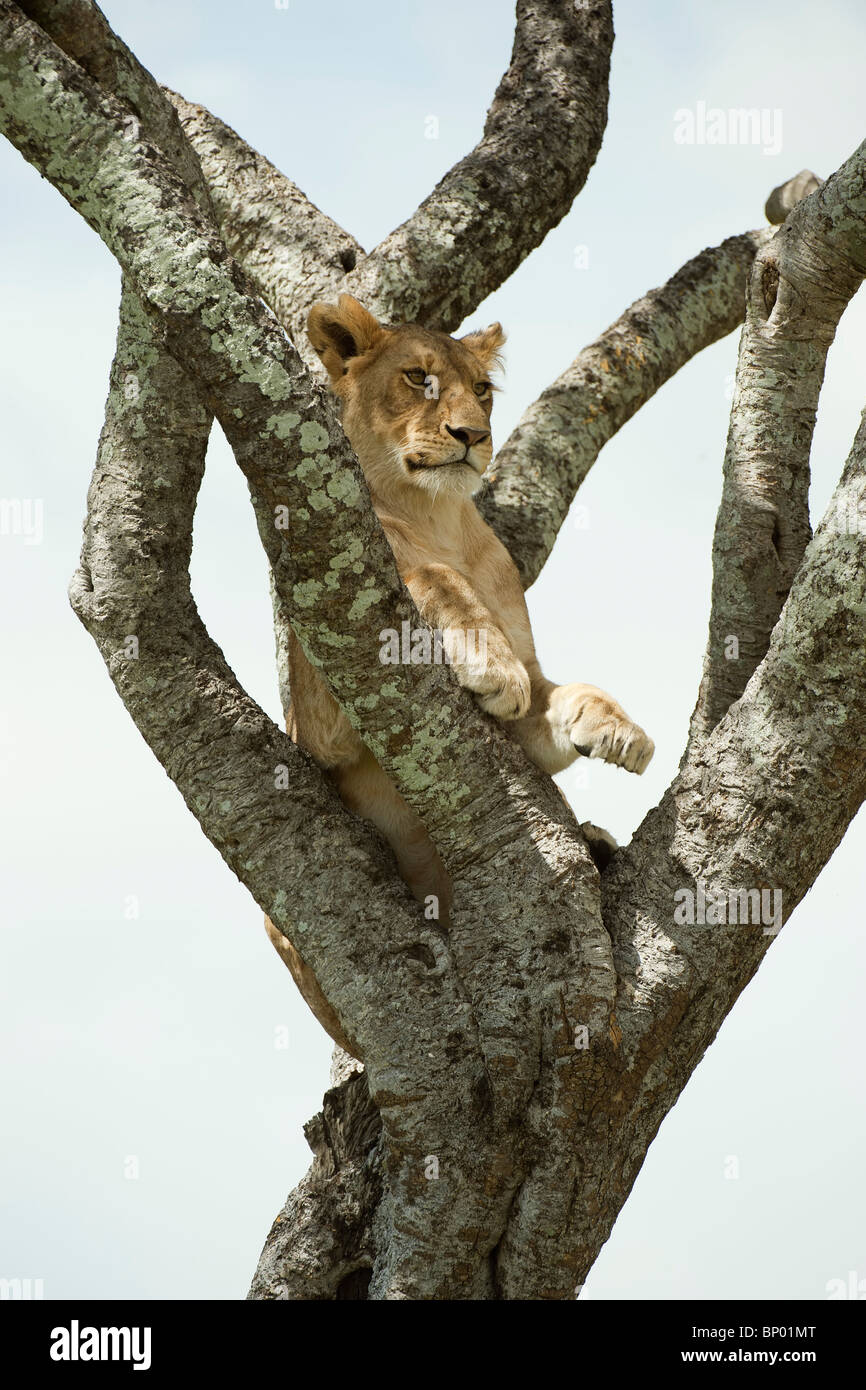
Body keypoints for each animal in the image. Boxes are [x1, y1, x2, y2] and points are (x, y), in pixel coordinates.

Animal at [265, 295, 654, 1058]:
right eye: (418, 378)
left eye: (481, 389)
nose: (472, 434)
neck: (437, 512)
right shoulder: (321, 696)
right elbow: (432, 578)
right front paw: (488, 662)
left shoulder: (537, 692)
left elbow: (562, 696)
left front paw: (619, 730)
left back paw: (597, 844)